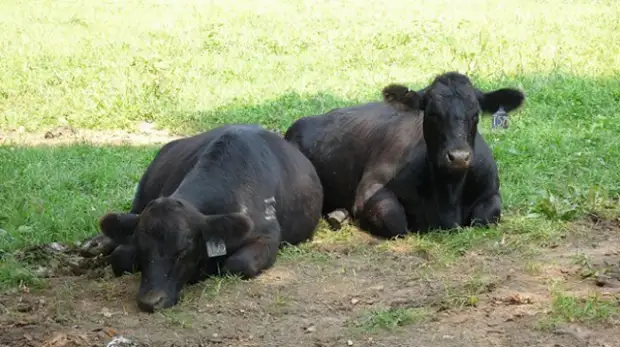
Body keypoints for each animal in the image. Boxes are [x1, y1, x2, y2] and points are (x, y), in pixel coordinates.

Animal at [86, 124, 324, 312]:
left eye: (183, 250)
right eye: (141, 245)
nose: (150, 301)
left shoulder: (268, 236)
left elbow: (238, 264)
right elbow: (120, 257)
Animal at [284, 70, 524, 239]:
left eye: (475, 114)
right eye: (433, 113)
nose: (458, 157)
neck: (449, 195)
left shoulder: (491, 192)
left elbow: (487, 217)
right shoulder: (370, 188)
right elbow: (396, 222)